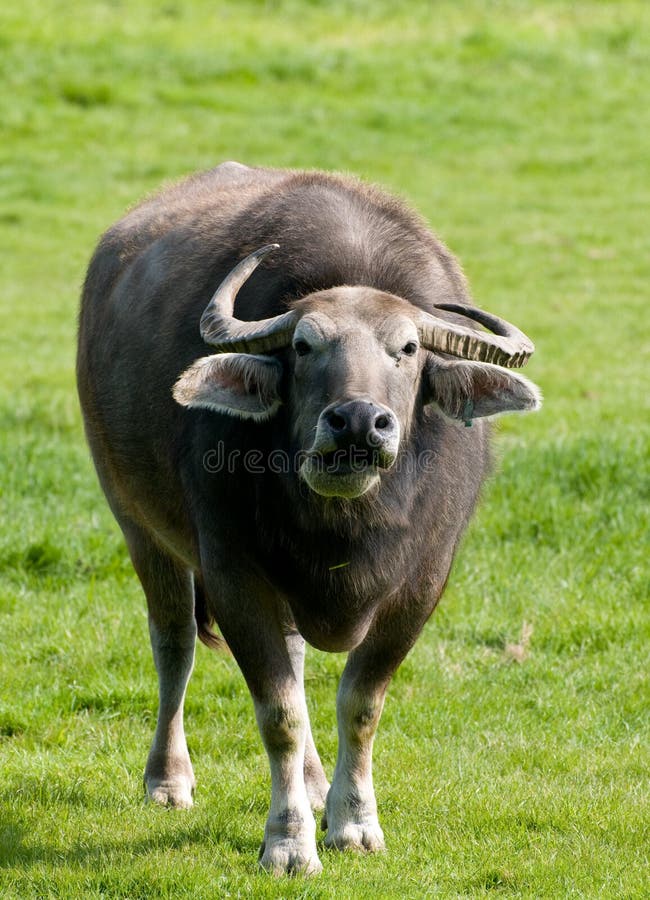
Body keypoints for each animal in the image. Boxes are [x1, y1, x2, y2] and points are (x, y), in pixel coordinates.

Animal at [77, 161, 541, 875]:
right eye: (302, 345)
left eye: (408, 348)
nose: (357, 422)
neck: (345, 528)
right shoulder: (235, 576)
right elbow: (280, 714)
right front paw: (289, 842)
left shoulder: (421, 583)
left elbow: (360, 703)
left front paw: (352, 821)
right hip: (135, 521)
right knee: (174, 643)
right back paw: (168, 777)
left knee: (294, 659)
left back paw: (318, 783)